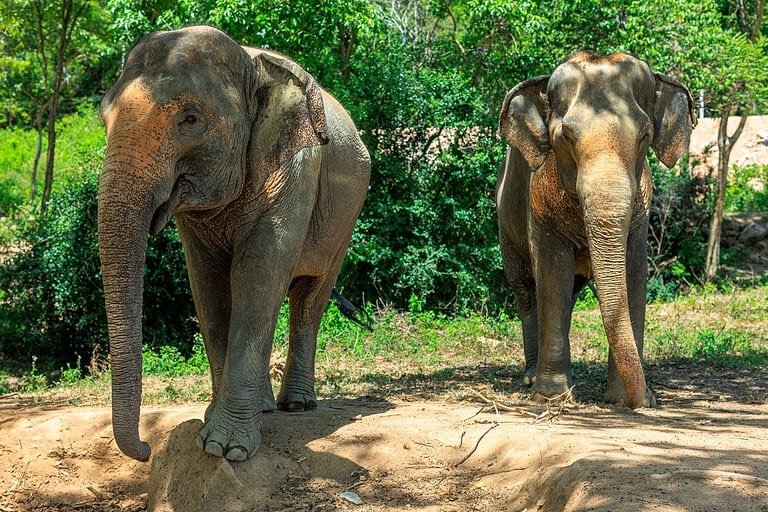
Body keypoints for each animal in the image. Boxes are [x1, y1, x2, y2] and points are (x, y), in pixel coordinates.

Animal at [98, 26, 370, 462]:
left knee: (310, 298)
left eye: (190, 119)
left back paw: (298, 405)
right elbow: (208, 285)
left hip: (347, 215)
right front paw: (212, 424)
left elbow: (256, 274)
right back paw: (267, 406)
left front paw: (226, 448)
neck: (252, 68)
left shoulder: (297, 169)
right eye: (103, 118)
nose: (145, 448)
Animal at [496, 52, 695, 408]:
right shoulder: (540, 204)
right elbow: (552, 273)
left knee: (570, 293)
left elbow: (634, 273)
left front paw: (623, 399)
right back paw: (531, 379)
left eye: (644, 135)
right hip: (506, 223)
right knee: (526, 289)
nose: (644, 401)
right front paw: (550, 397)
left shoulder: (641, 209)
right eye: (566, 137)